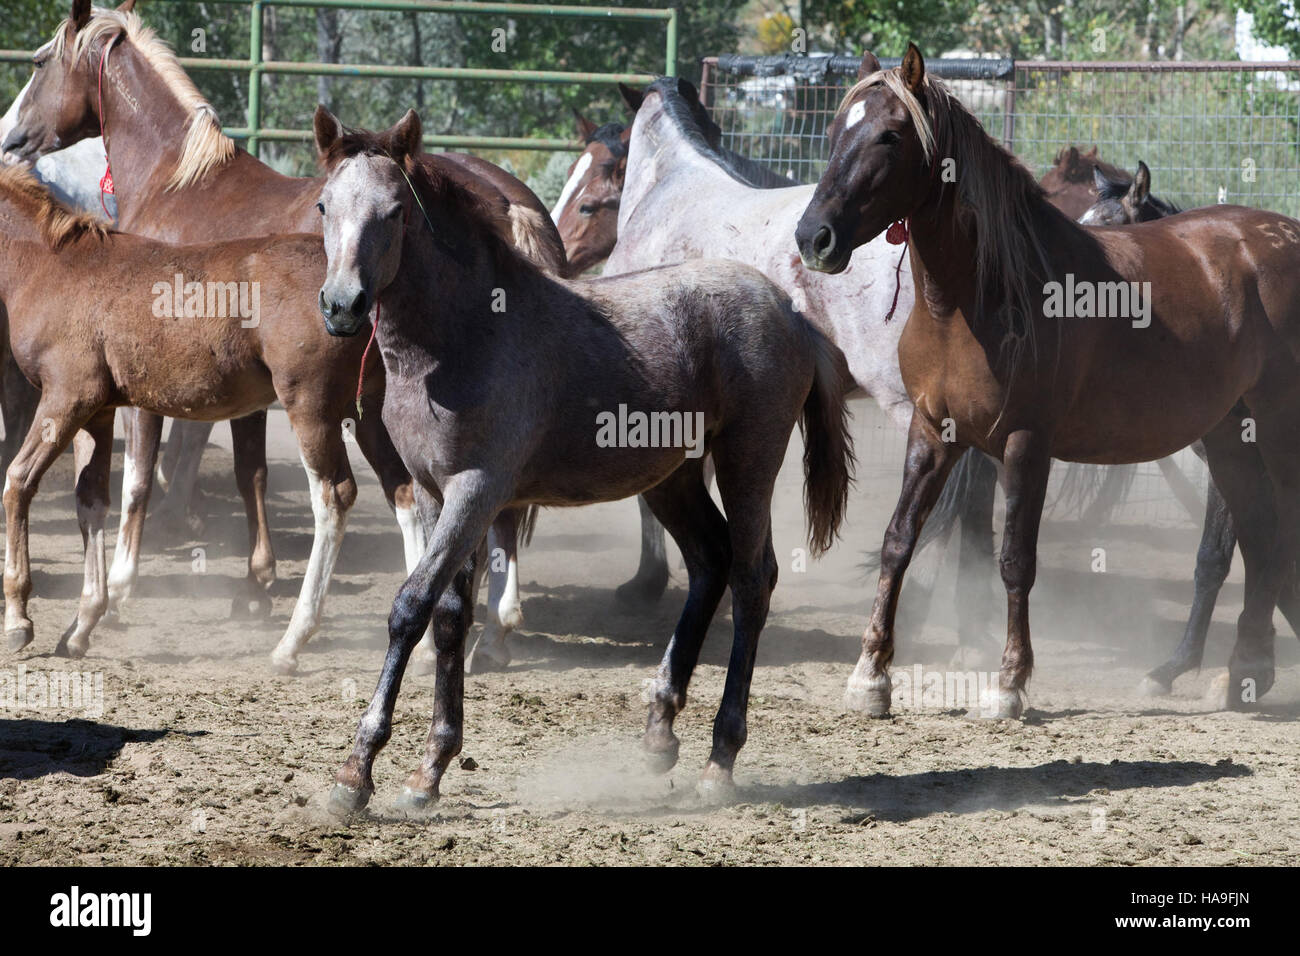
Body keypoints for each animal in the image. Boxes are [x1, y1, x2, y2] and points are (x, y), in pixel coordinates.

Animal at [3, 0, 563, 673]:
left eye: (39, 62)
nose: (10, 137)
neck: (176, 184)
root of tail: (509, 201)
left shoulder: (131, 394)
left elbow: (136, 480)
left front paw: (117, 592)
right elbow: (248, 474)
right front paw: (253, 585)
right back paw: (475, 631)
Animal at [313, 107, 854, 810]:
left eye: (395, 211)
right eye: (324, 205)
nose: (341, 306)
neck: (462, 338)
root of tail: (789, 309)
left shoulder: (477, 491)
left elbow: (412, 607)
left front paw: (356, 774)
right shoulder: (433, 493)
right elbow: (450, 615)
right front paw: (429, 770)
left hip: (748, 461)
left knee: (752, 576)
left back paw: (719, 760)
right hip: (672, 477)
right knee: (709, 560)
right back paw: (659, 729)